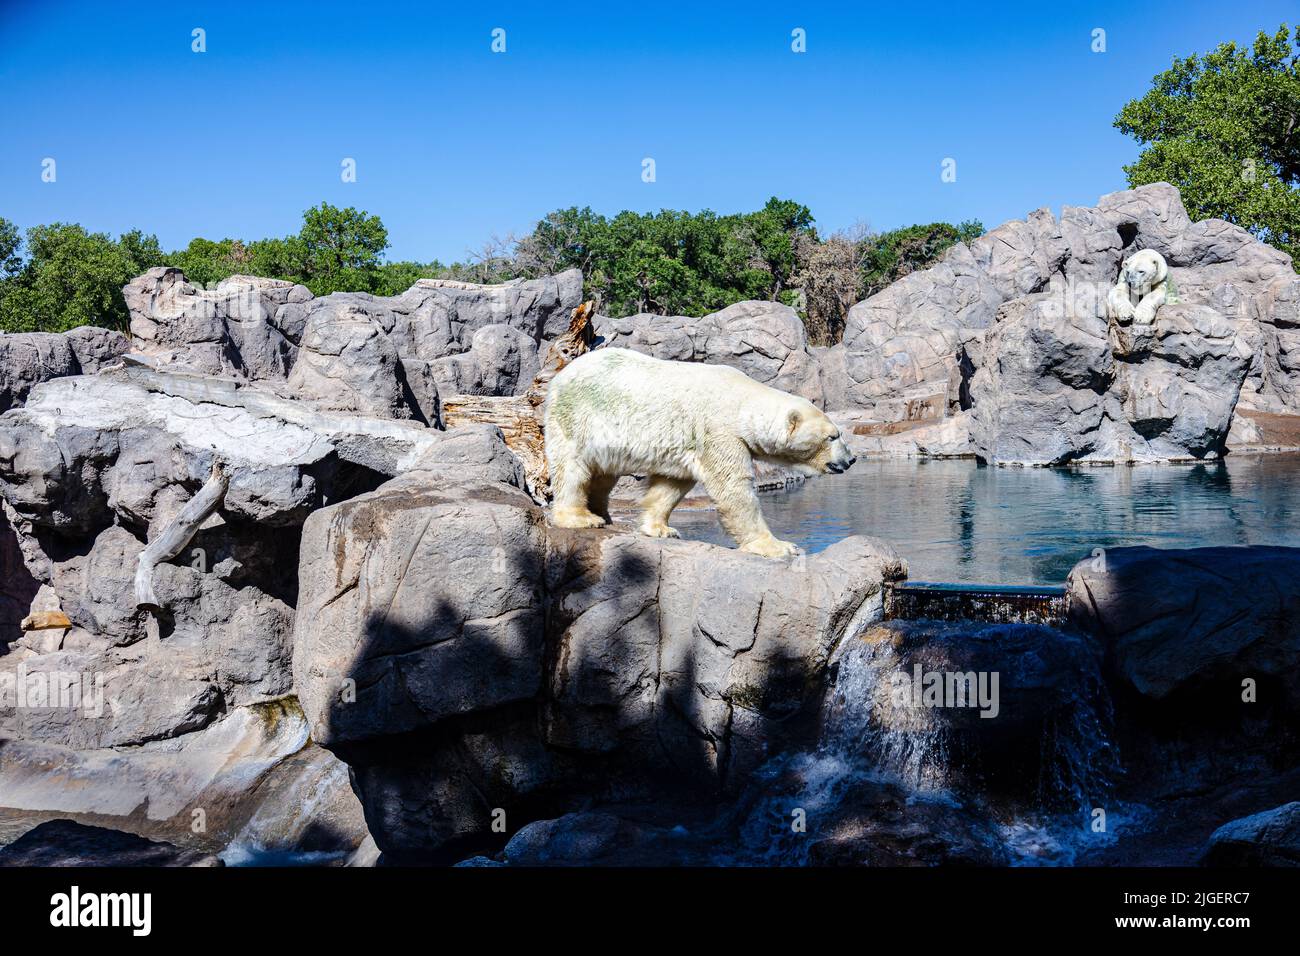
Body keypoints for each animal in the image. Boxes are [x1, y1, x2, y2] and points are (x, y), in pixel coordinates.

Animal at [542, 347, 856, 558]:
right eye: (833, 436)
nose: (851, 459)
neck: (741, 402)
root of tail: (561, 375)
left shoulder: (689, 443)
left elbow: (672, 484)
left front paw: (661, 528)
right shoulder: (719, 432)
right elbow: (733, 489)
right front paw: (780, 546)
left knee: (603, 473)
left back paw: (602, 513)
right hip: (578, 418)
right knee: (573, 469)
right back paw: (581, 517)